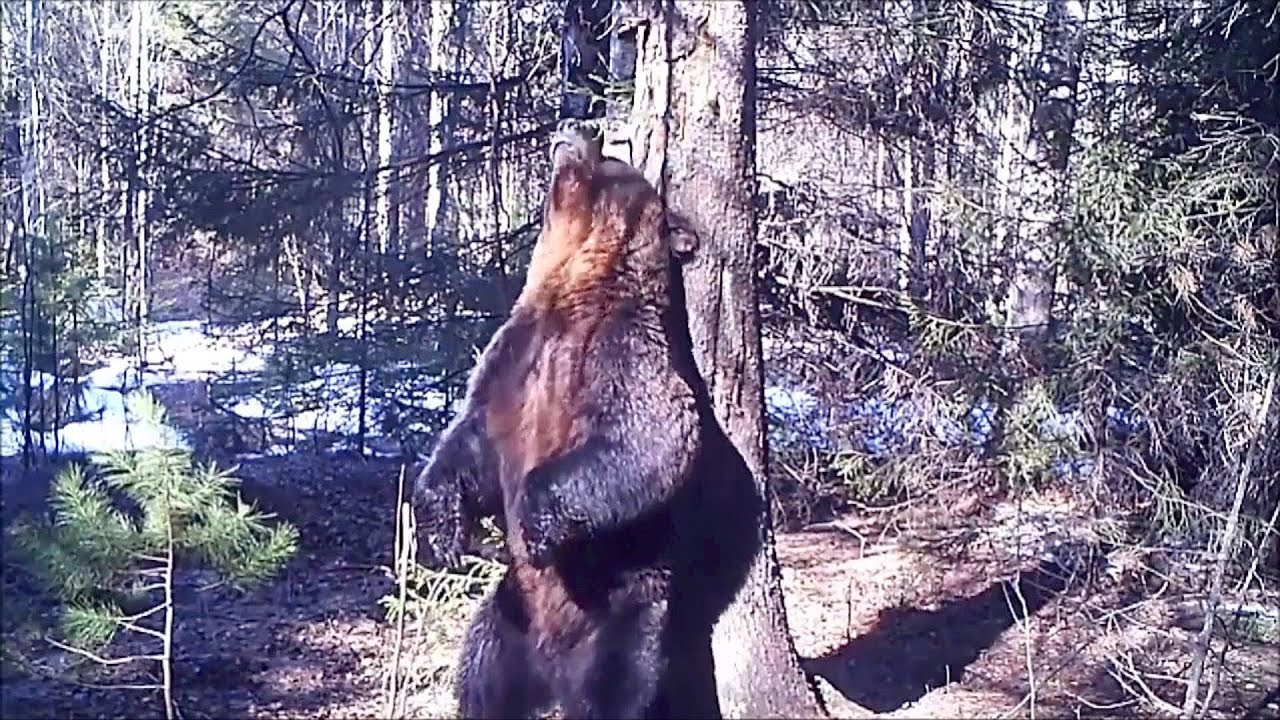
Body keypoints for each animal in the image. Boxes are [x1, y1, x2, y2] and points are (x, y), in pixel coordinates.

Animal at [411, 118, 761, 719]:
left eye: (611, 158)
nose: (577, 128)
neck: (571, 287)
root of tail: (550, 671)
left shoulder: (622, 349)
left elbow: (648, 435)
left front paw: (534, 520)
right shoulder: (514, 356)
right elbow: (470, 439)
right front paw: (440, 531)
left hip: (626, 616)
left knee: (620, 686)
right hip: (510, 612)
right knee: (480, 667)